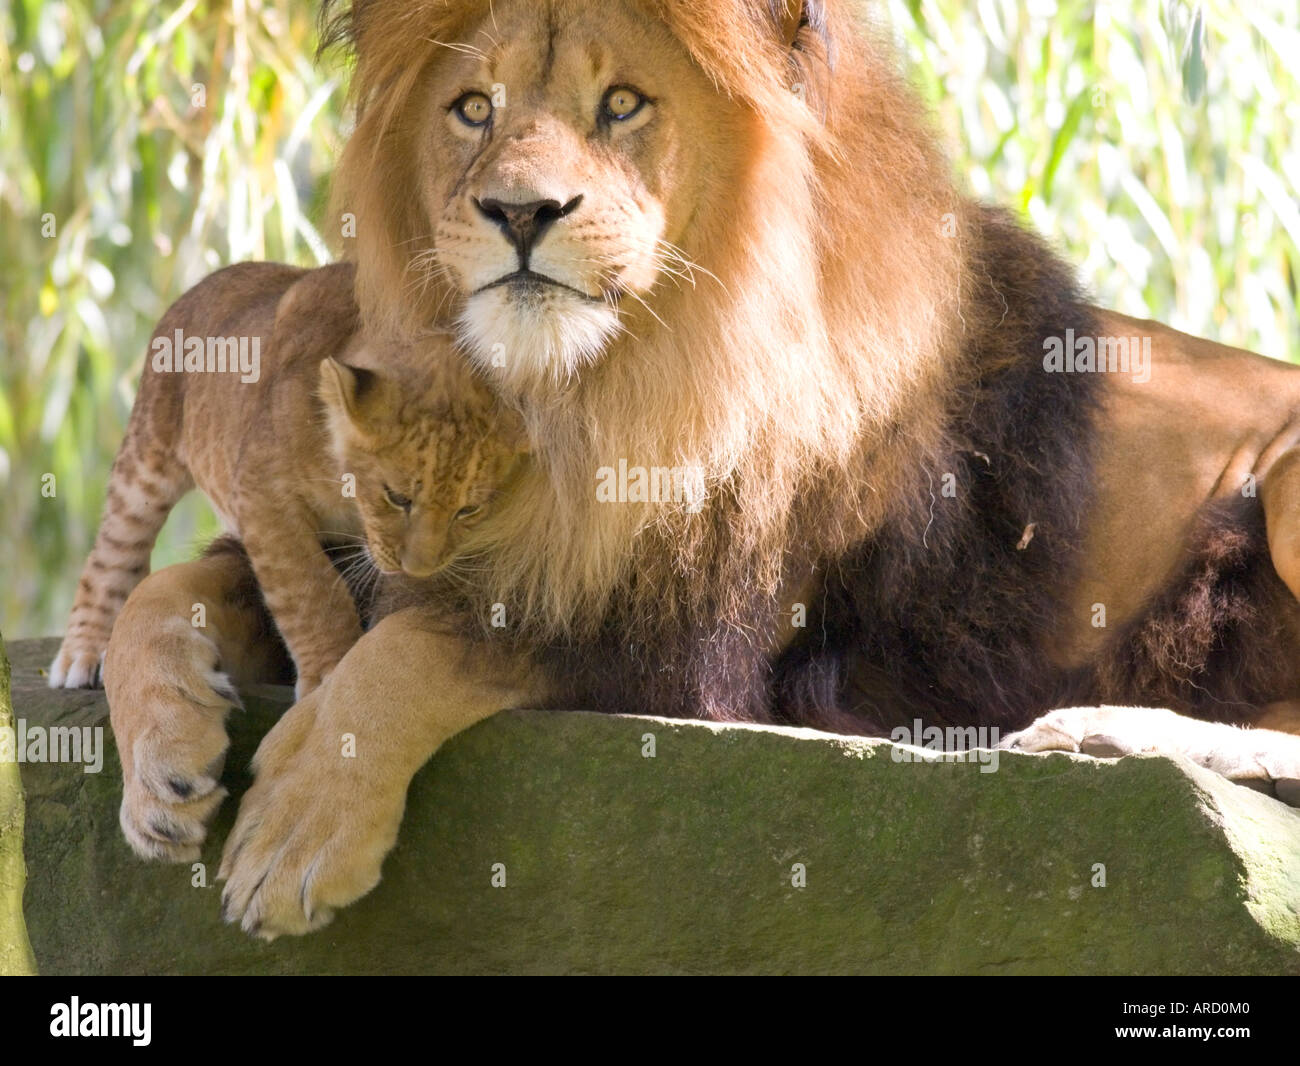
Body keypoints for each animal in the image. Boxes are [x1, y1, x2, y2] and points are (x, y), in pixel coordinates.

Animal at [96, 0, 1300, 940]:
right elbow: (170, 593)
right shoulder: (367, 539)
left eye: (623, 104)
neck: (591, 400)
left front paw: (299, 823)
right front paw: (162, 765)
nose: (519, 212)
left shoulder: (698, 648)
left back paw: (1103, 725)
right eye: (473, 108)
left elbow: (424, 646)